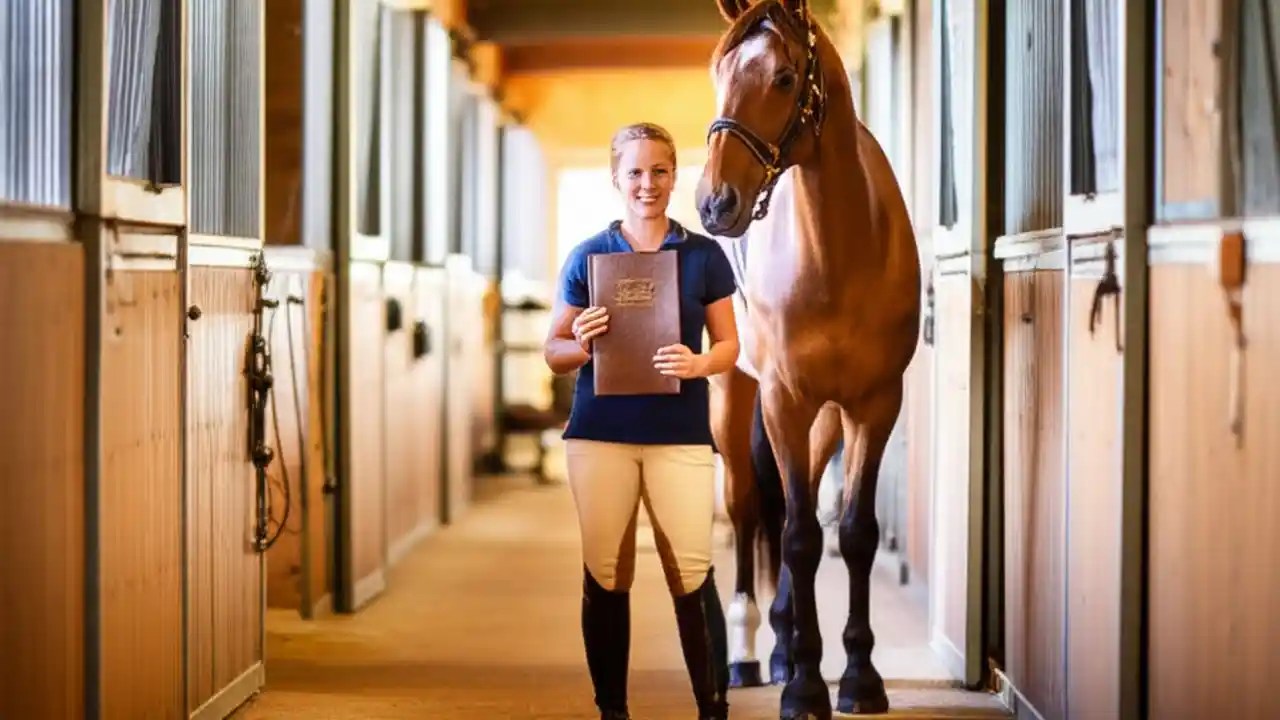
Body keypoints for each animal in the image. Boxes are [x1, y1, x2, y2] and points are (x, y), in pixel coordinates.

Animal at [696, 0, 922, 717]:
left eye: (785, 77)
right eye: (720, 76)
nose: (715, 203)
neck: (838, 252)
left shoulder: (874, 404)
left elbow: (850, 532)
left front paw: (856, 675)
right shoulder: (782, 400)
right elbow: (796, 535)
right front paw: (803, 687)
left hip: (822, 417)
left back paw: (782, 641)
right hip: (734, 398)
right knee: (746, 506)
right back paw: (746, 655)